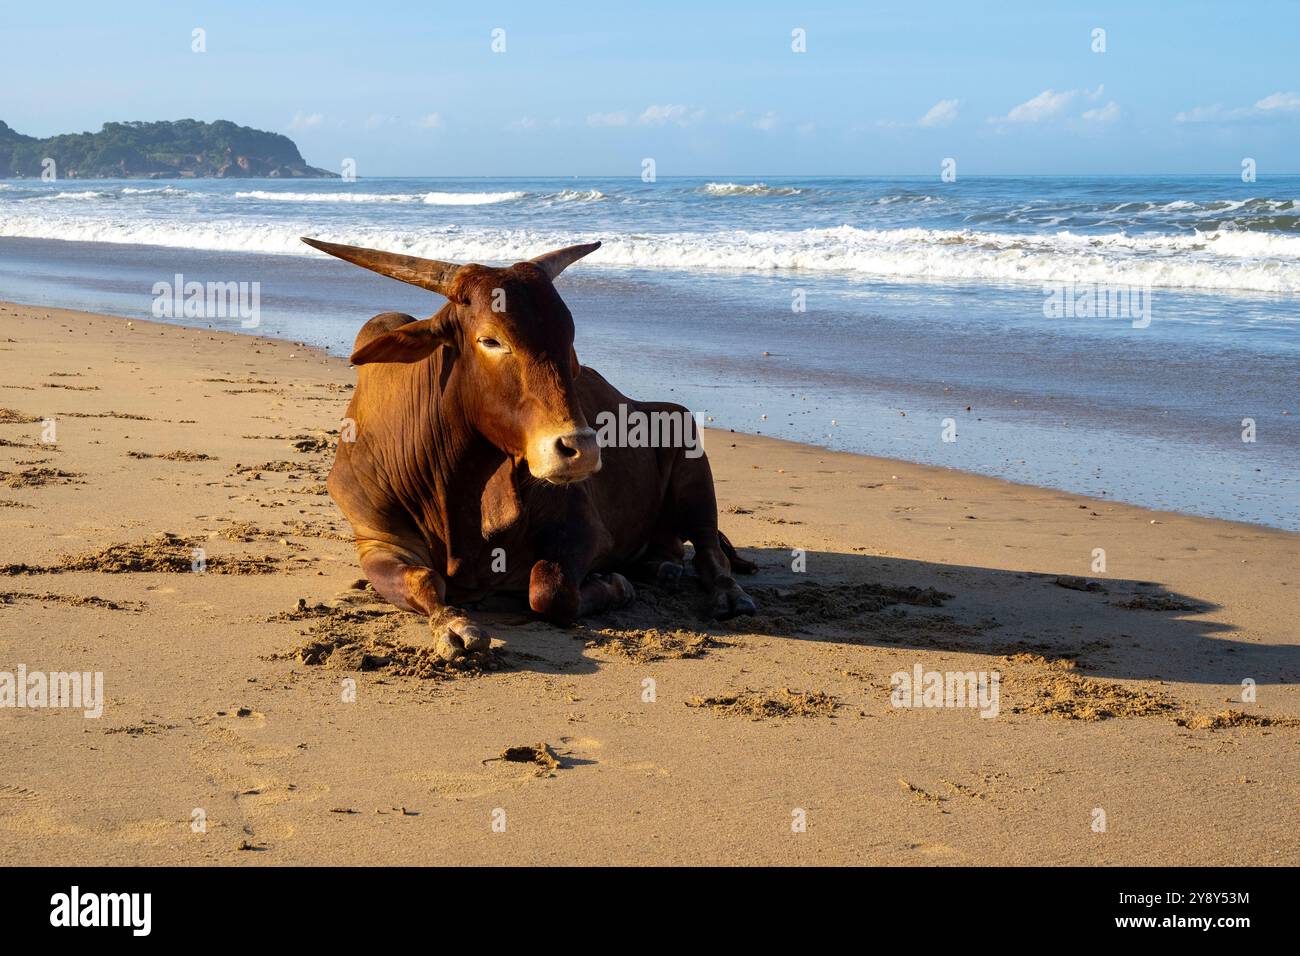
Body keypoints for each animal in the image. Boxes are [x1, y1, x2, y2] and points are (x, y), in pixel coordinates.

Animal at [302, 237, 756, 661]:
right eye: (490, 340)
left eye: (568, 338)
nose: (582, 449)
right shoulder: (376, 539)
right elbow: (424, 580)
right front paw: (453, 625)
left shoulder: (584, 528)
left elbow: (549, 591)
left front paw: (614, 585)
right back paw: (661, 568)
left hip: (691, 460)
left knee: (711, 555)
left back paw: (726, 594)